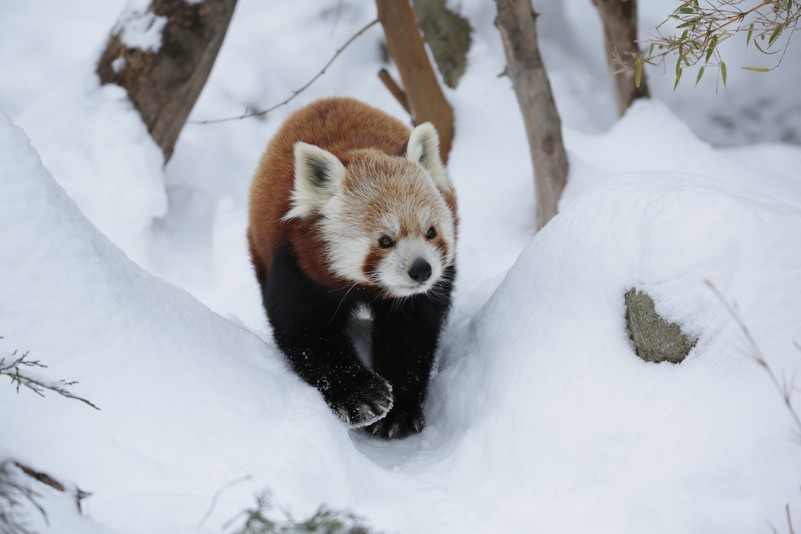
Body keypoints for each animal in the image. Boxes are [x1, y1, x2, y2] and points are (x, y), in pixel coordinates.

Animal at [247, 97, 457, 439]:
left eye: (430, 232)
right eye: (385, 241)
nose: (421, 270)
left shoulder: (423, 294)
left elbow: (411, 335)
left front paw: (399, 412)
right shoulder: (297, 266)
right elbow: (308, 334)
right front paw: (363, 397)